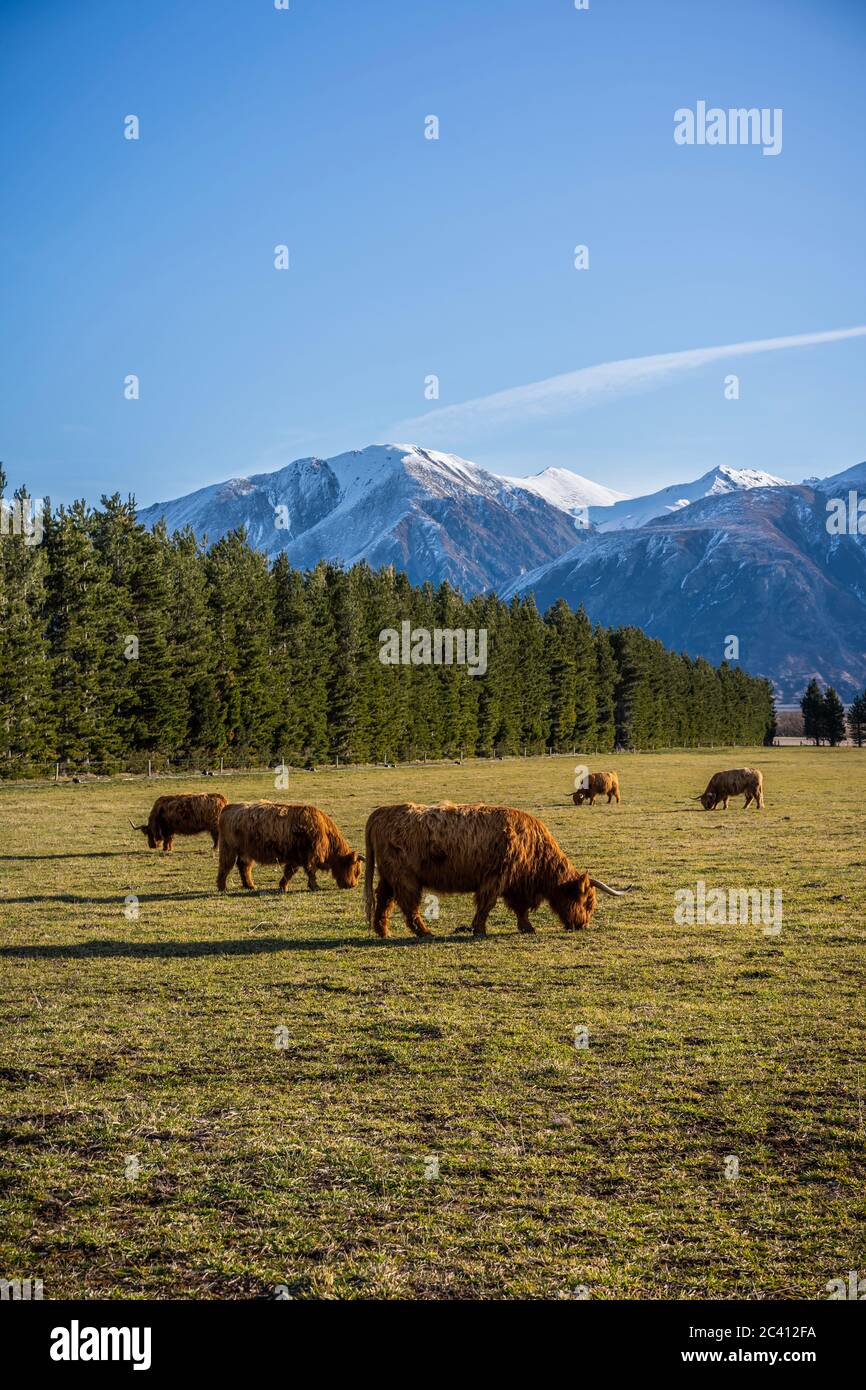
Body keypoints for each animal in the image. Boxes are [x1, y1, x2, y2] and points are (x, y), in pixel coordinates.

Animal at [216, 801, 363, 893]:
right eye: (356, 870)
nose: (353, 885)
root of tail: (228, 807)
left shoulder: (296, 857)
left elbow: (289, 872)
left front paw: (283, 886)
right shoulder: (310, 856)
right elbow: (311, 872)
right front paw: (315, 887)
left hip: (246, 851)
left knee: (244, 866)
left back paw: (250, 886)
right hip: (229, 848)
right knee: (225, 866)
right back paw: (222, 887)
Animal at [363, 801, 629, 939]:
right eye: (587, 902)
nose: (582, 925)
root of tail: (381, 811)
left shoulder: (516, 884)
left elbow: (520, 908)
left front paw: (527, 927)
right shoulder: (497, 877)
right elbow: (487, 904)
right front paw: (479, 930)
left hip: (389, 876)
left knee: (384, 900)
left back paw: (383, 931)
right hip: (405, 877)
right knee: (408, 905)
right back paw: (425, 932)